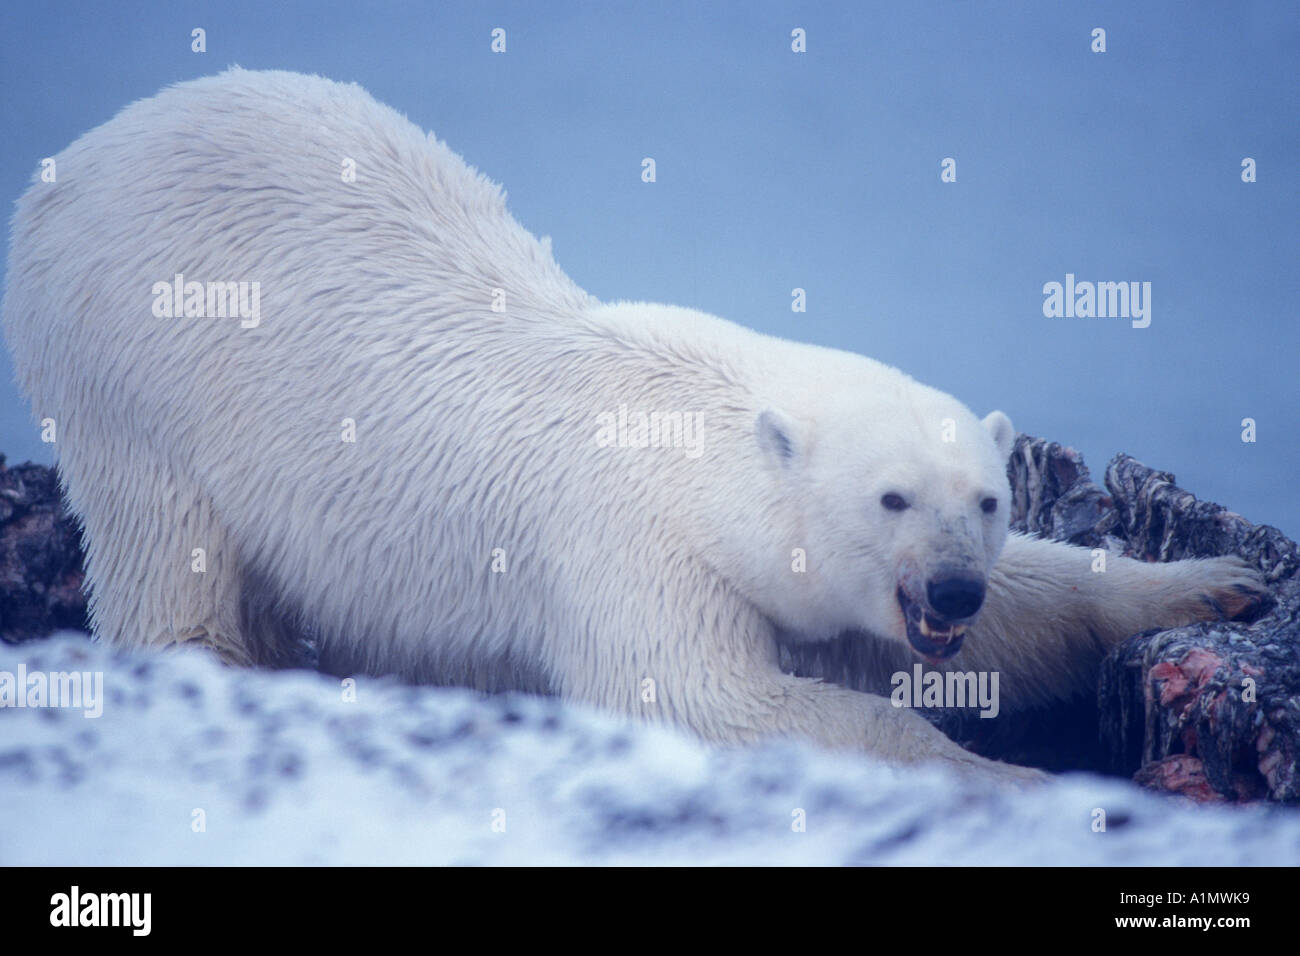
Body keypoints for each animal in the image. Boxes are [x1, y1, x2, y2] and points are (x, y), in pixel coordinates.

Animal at [2, 69, 1265, 785]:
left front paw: (1216, 584)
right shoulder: (629, 549)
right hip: (130, 366)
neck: (695, 430)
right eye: (890, 494)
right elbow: (707, 698)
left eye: (989, 499)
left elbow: (1020, 617)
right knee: (168, 547)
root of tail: (80, 160)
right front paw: (1013, 784)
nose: (949, 585)